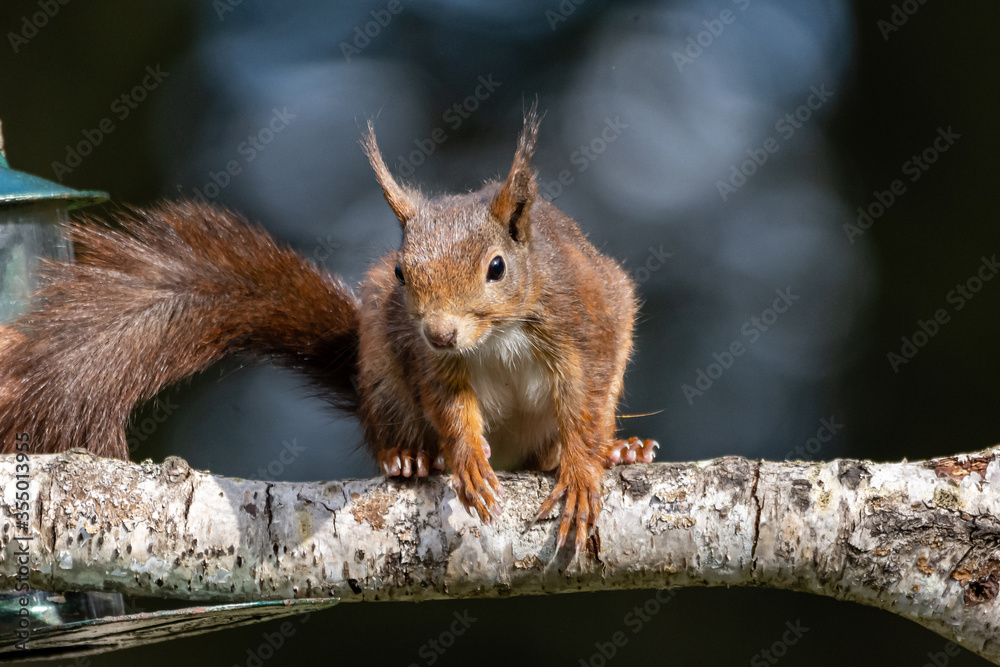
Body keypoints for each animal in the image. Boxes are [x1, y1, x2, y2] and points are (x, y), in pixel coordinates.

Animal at [0, 108, 656, 553]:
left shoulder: (584, 323)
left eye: (497, 268)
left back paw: (615, 450)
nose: (440, 332)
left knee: (561, 439)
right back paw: (410, 459)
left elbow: (585, 402)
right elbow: (450, 407)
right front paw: (466, 458)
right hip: (383, 374)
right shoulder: (426, 358)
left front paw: (582, 471)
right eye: (401, 272)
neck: (494, 337)